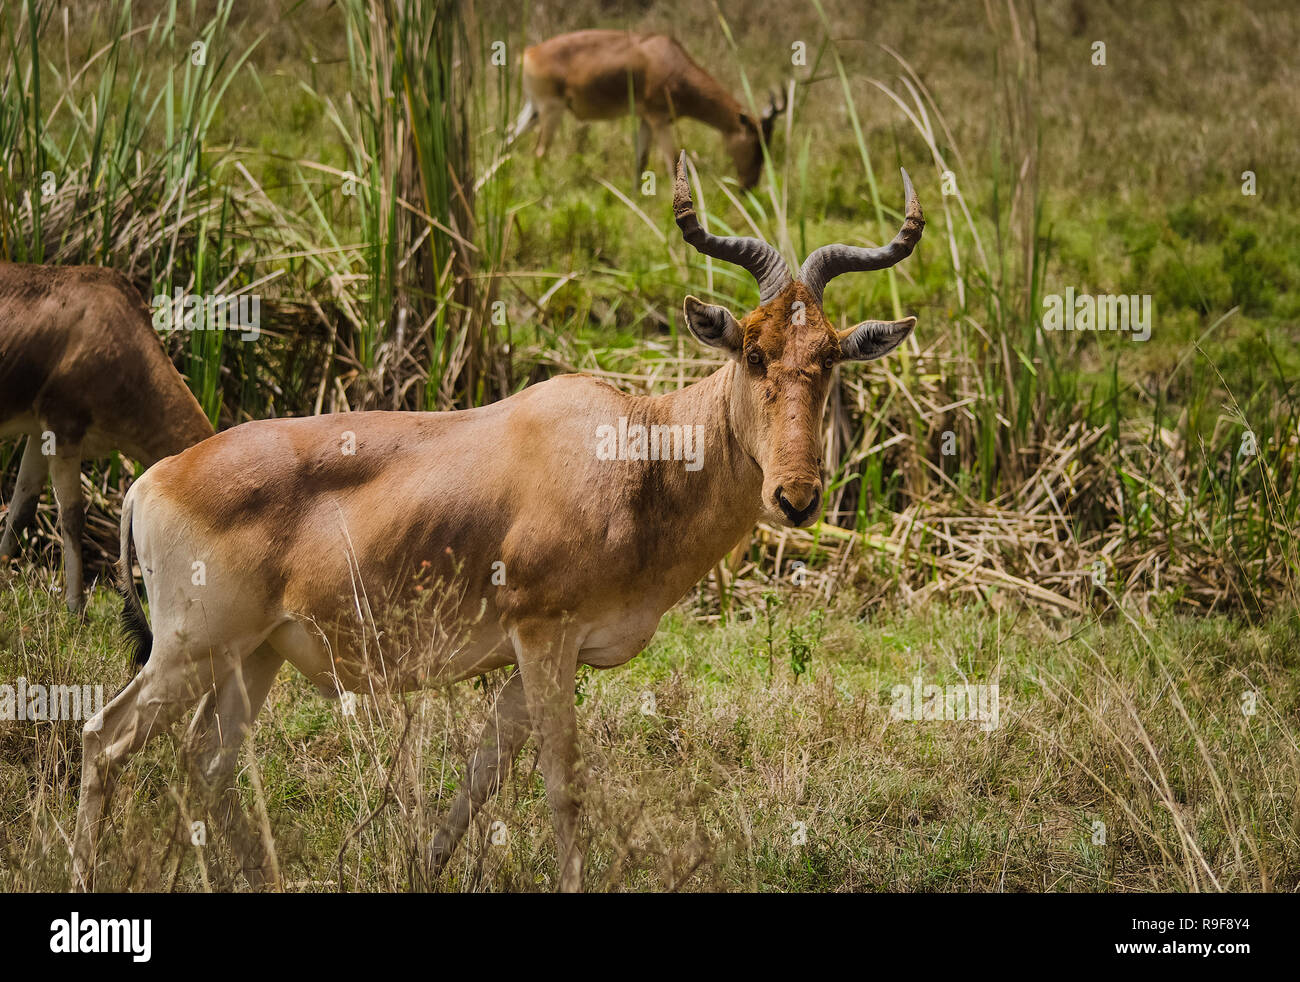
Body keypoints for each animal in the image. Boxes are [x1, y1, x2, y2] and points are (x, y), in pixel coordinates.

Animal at [71, 154, 922, 892]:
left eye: (831, 355)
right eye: (752, 349)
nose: (796, 496)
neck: (633, 445)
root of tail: (150, 482)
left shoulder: (535, 655)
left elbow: (484, 775)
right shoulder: (543, 634)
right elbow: (563, 784)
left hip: (253, 655)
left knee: (205, 766)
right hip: (190, 648)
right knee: (105, 737)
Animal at [513, 30, 786, 189]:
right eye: (757, 142)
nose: (749, 187)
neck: (667, 56)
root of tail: (529, 53)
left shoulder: (646, 119)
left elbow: (640, 160)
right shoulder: (659, 120)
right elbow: (672, 160)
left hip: (533, 112)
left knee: (509, 141)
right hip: (552, 110)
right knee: (539, 152)